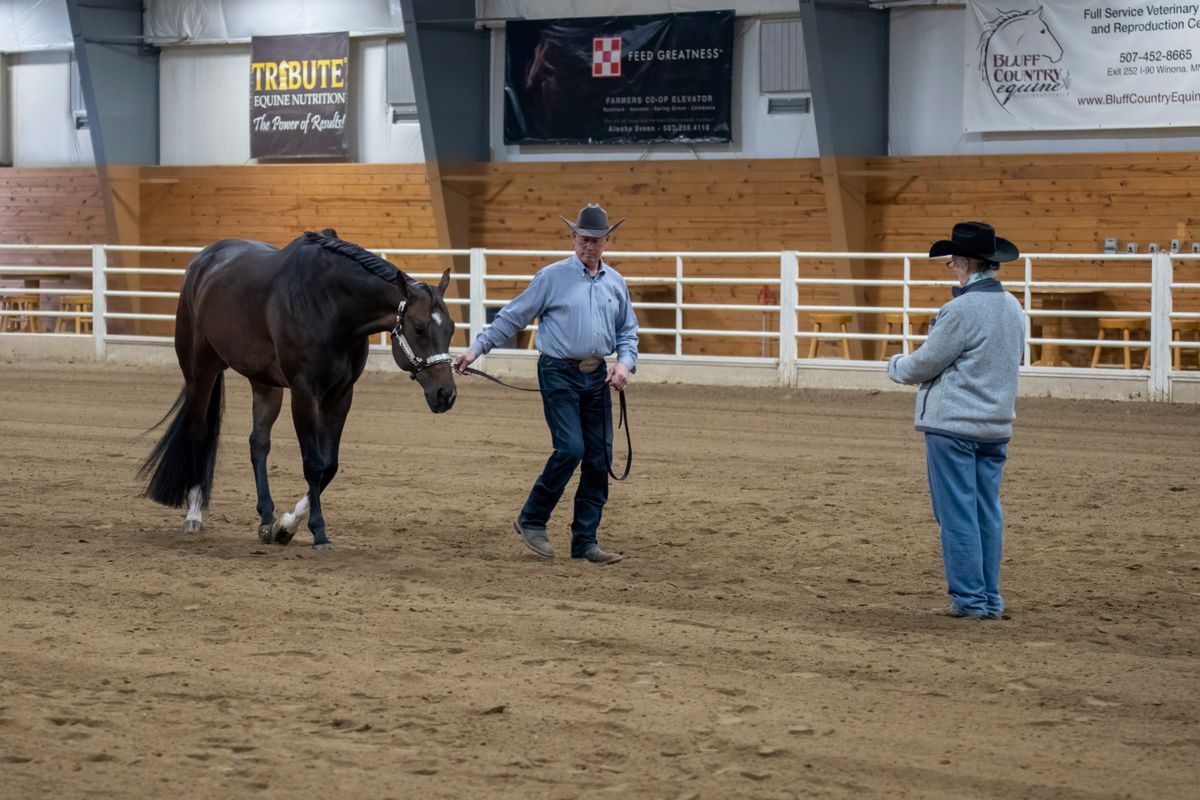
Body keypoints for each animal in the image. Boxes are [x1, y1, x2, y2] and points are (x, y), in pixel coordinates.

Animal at [138, 229, 457, 549]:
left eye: (451, 328)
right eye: (419, 328)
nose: (446, 394)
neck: (330, 306)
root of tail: (202, 263)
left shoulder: (341, 395)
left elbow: (329, 465)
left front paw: (285, 525)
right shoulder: (304, 393)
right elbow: (312, 463)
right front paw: (318, 532)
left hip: (264, 383)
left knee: (258, 443)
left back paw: (266, 518)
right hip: (200, 370)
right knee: (199, 433)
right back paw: (194, 513)